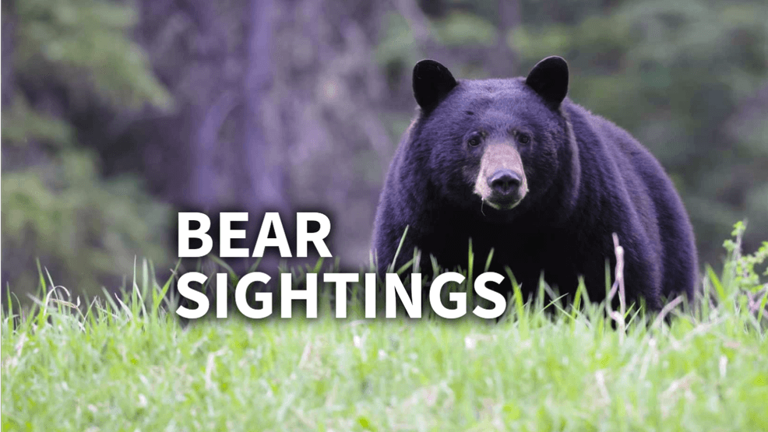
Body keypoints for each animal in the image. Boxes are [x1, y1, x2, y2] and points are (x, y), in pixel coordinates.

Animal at [372, 56, 698, 310]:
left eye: (524, 137)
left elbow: (619, 280)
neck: (499, 226)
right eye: (474, 139)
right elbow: (407, 272)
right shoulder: (420, 219)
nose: (504, 180)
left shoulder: (589, 214)